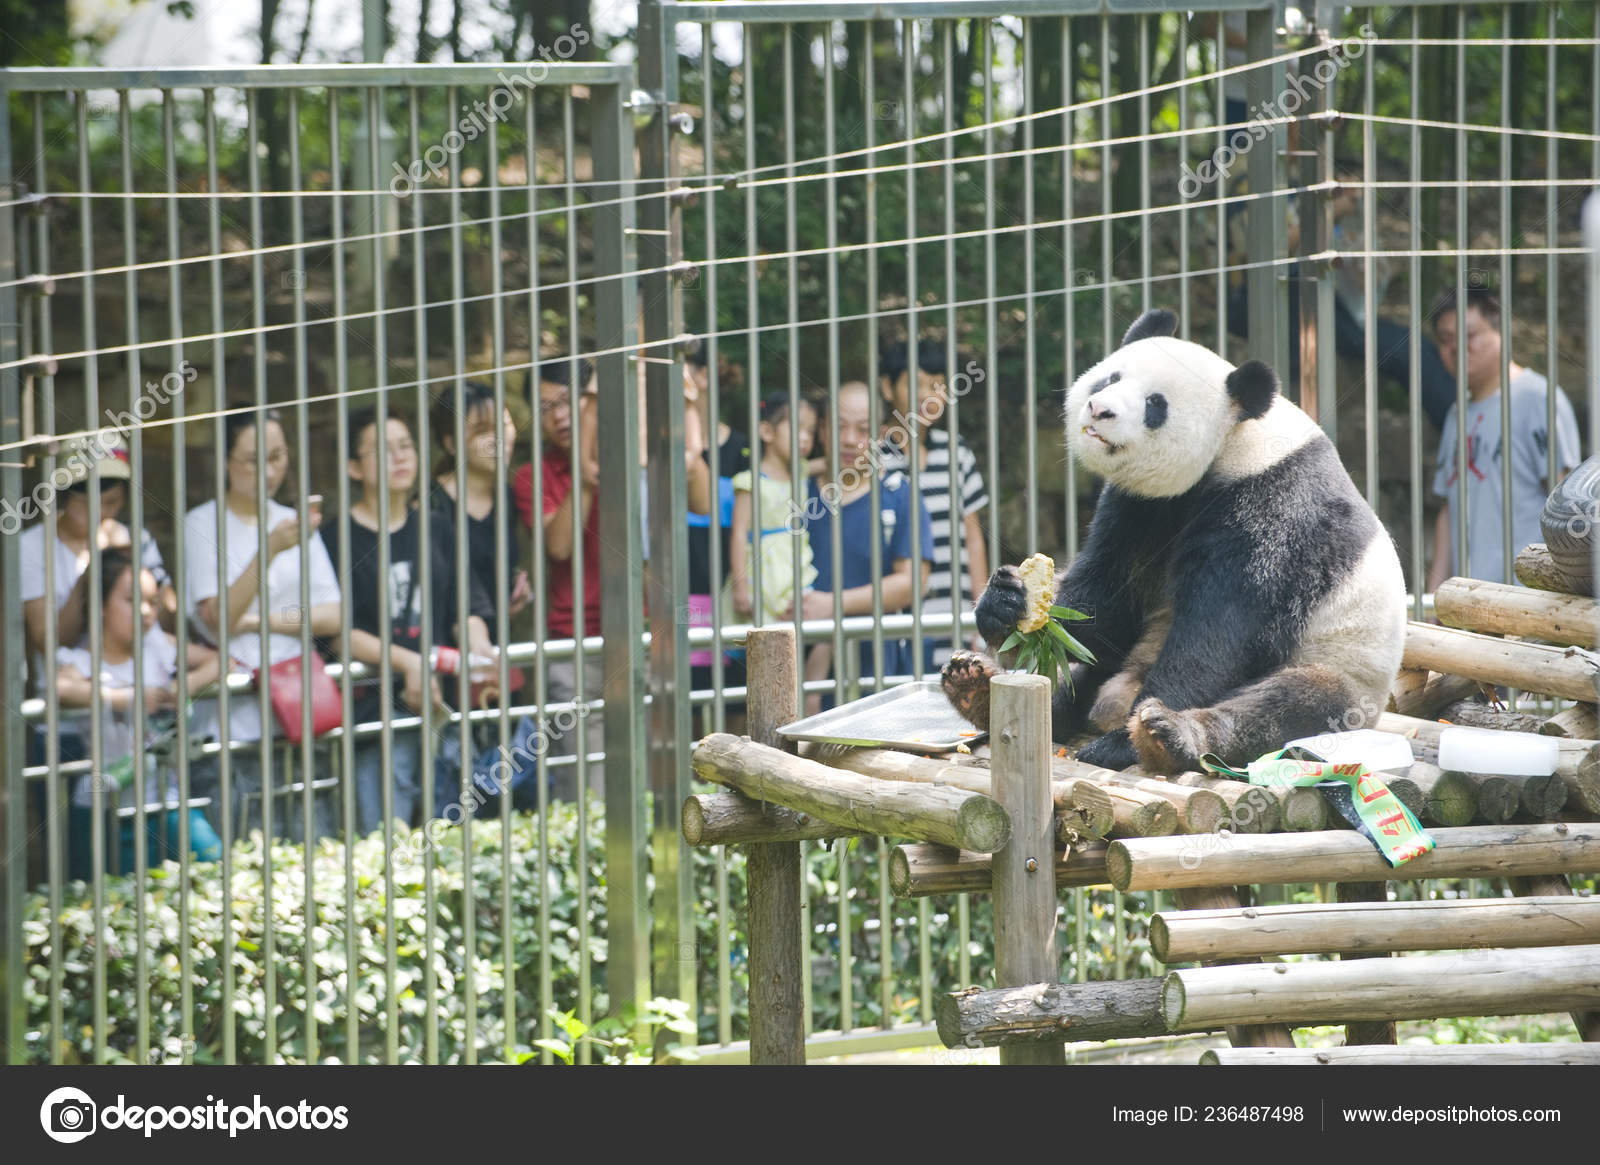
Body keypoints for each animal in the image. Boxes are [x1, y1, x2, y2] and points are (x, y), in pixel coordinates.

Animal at [941, 308, 1407, 773]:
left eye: (1155, 404)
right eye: (1110, 378)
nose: (1099, 409)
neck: (1235, 441)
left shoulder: (1273, 505)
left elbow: (1219, 631)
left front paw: (1128, 741)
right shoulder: (1141, 506)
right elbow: (1109, 597)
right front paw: (1010, 601)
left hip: (1345, 670)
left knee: (1288, 704)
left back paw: (1162, 735)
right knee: (1075, 678)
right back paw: (976, 687)